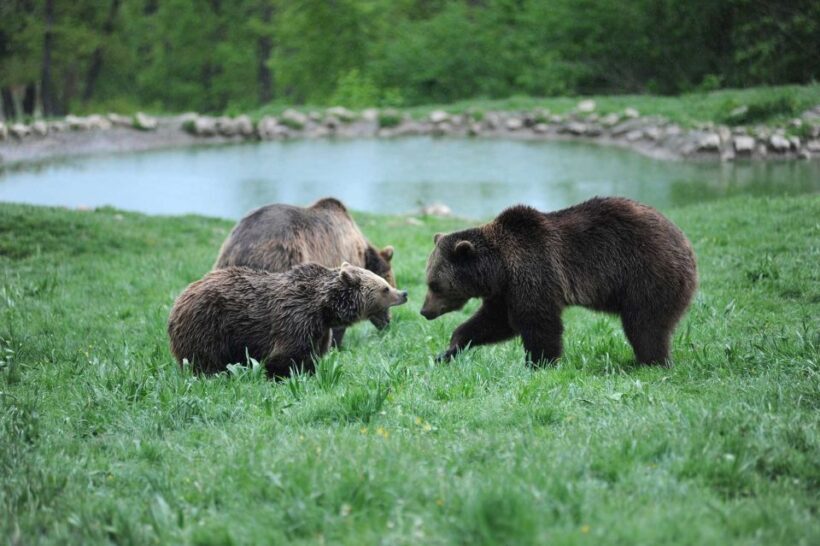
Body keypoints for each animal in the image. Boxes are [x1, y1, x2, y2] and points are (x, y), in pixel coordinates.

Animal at [168, 262, 408, 376]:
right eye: (385, 288)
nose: (404, 293)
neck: (324, 309)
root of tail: (178, 300)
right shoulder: (295, 319)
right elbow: (285, 356)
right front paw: (280, 376)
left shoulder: (319, 330)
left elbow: (312, 355)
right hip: (208, 325)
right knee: (205, 360)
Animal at [419, 197, 697, 366]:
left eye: (434, 284)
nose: (424, 311)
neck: (499, 268)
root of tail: (685, 242)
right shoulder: (505, 291)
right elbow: (495, 321)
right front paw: (451, 349)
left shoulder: (534, 270)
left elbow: (538, 322)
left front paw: (539, 362)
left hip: (647, 273)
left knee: (645, 324)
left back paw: (650, 361)